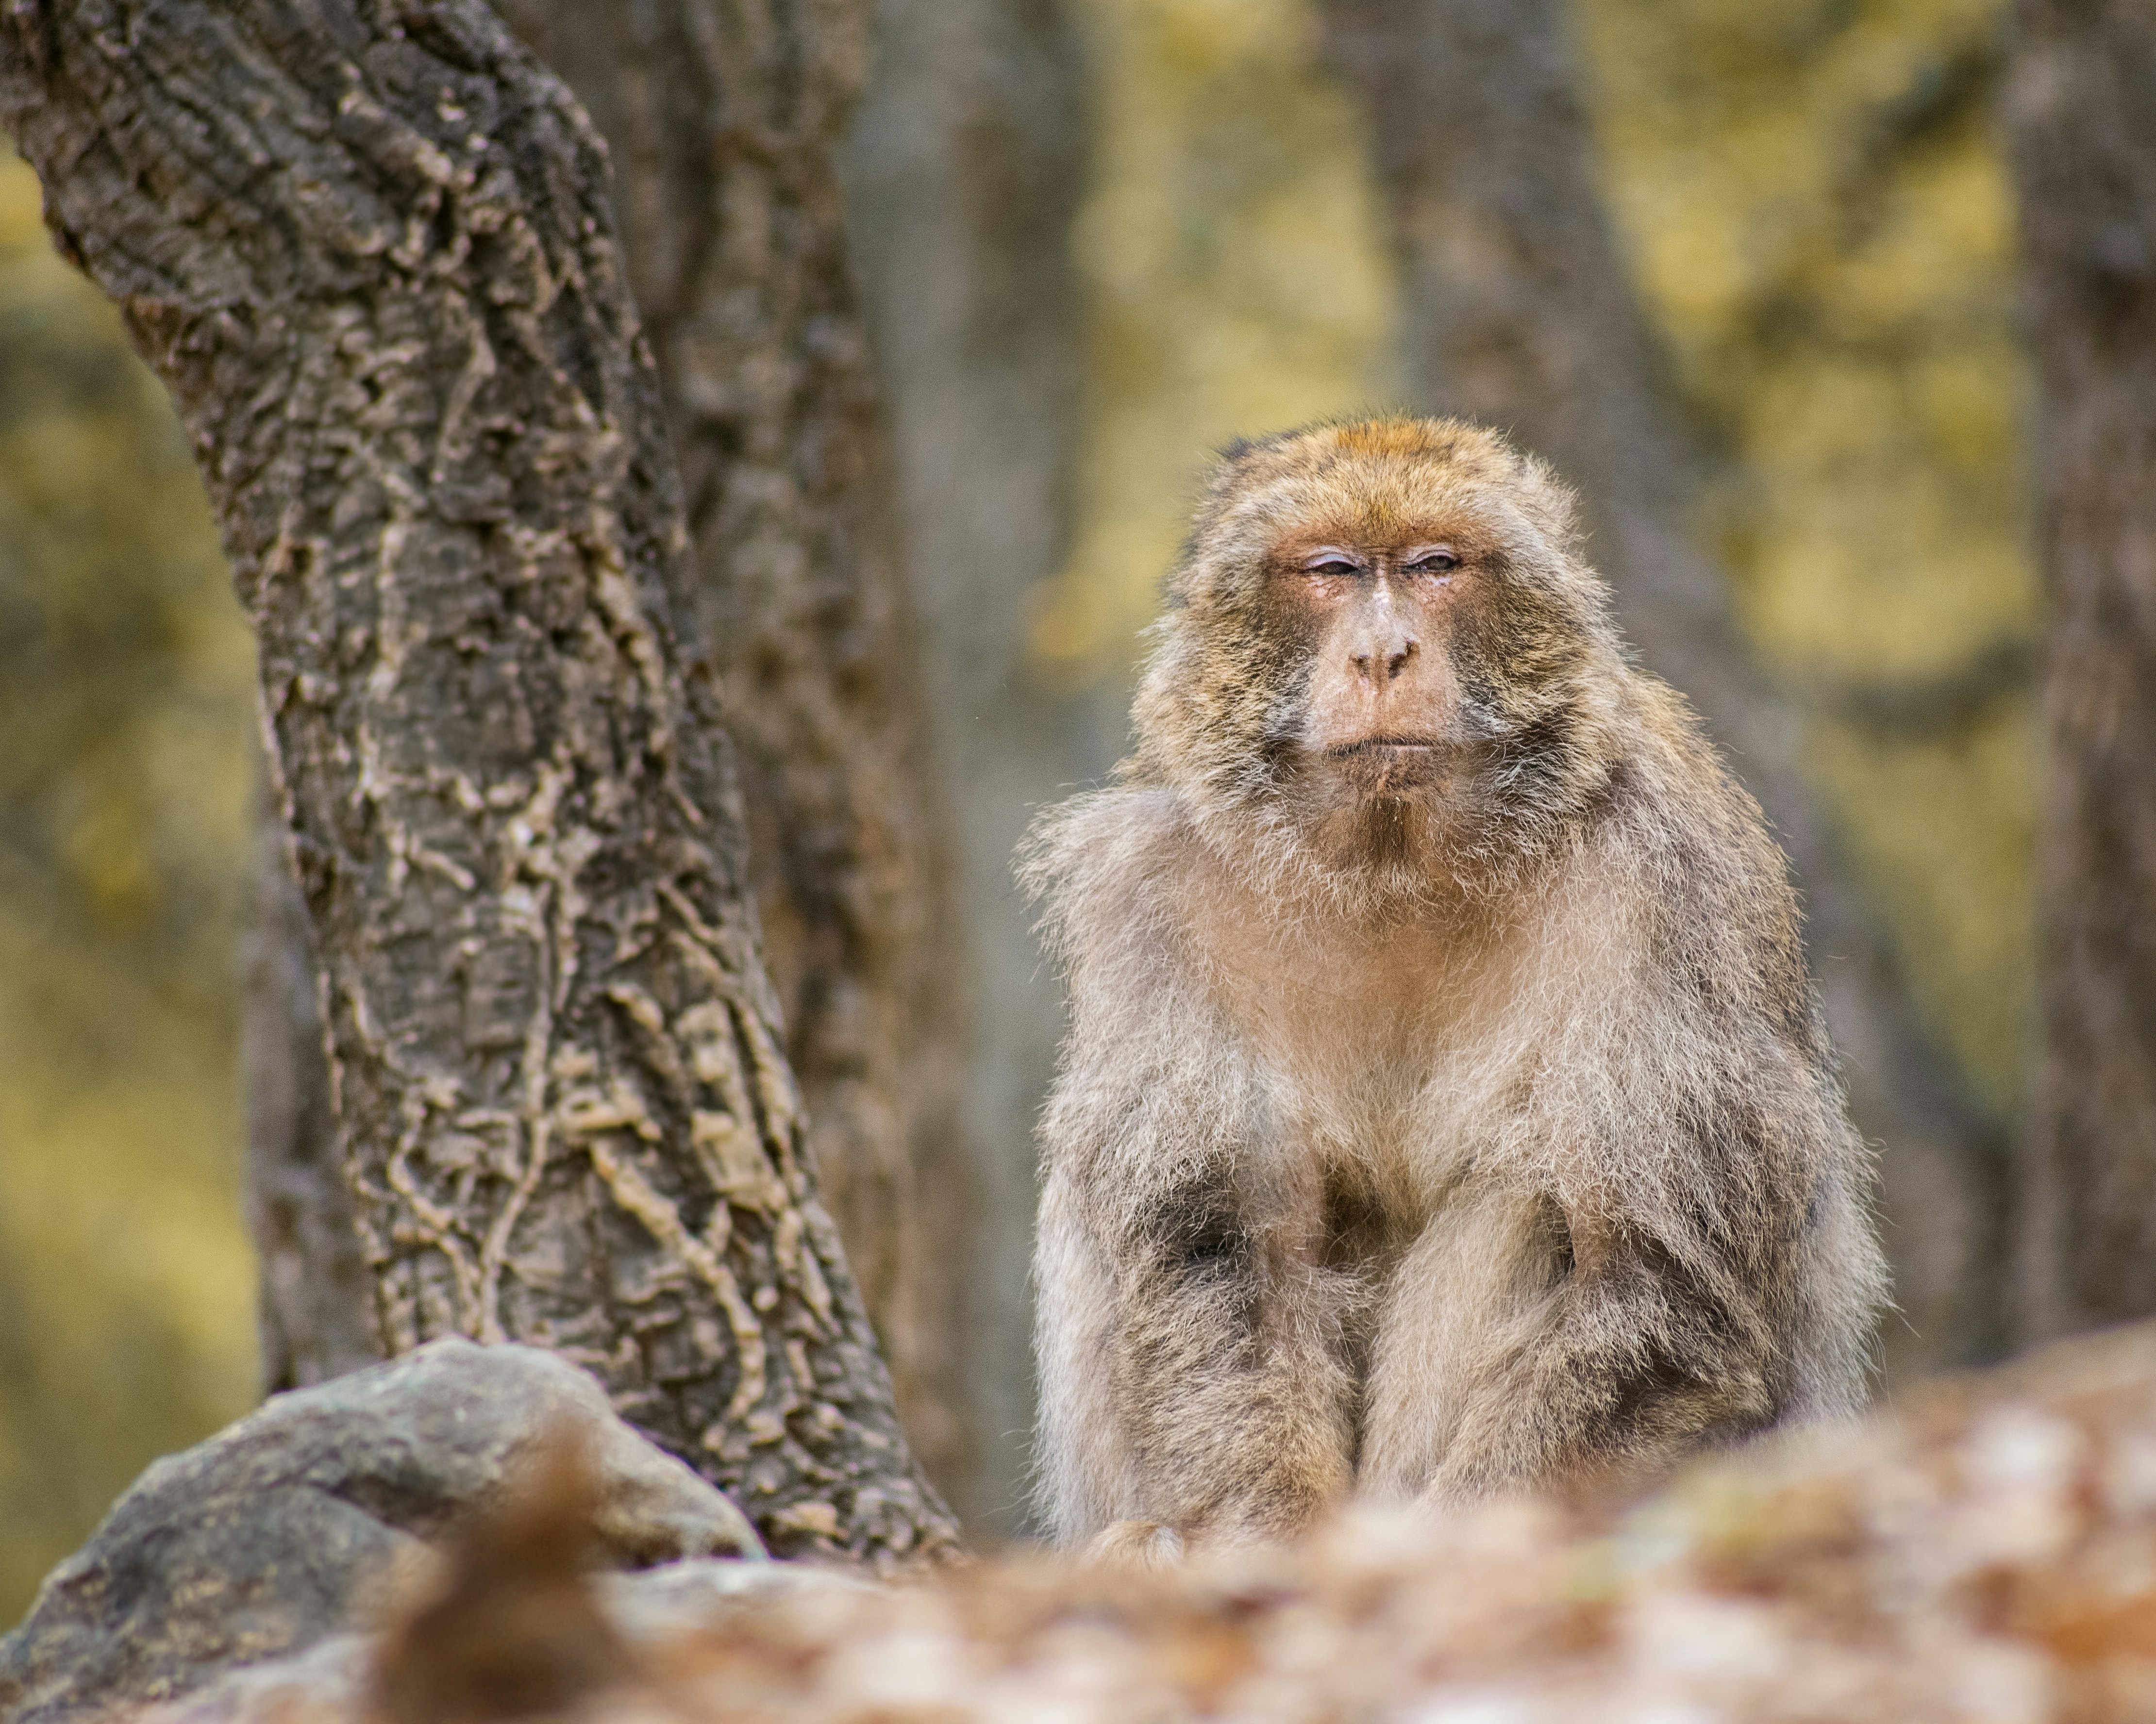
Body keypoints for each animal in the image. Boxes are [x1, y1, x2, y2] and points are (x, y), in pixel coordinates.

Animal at [1022, 416, 1886, 1562]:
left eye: (1435, 567)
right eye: (1331, 572)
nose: (1383, 653)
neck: (1399, 864)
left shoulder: (1673, 882)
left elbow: (1653, 1279)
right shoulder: (1155, 893)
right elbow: (1220, 1241)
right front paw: (1257, 1533)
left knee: (1526, 1200)